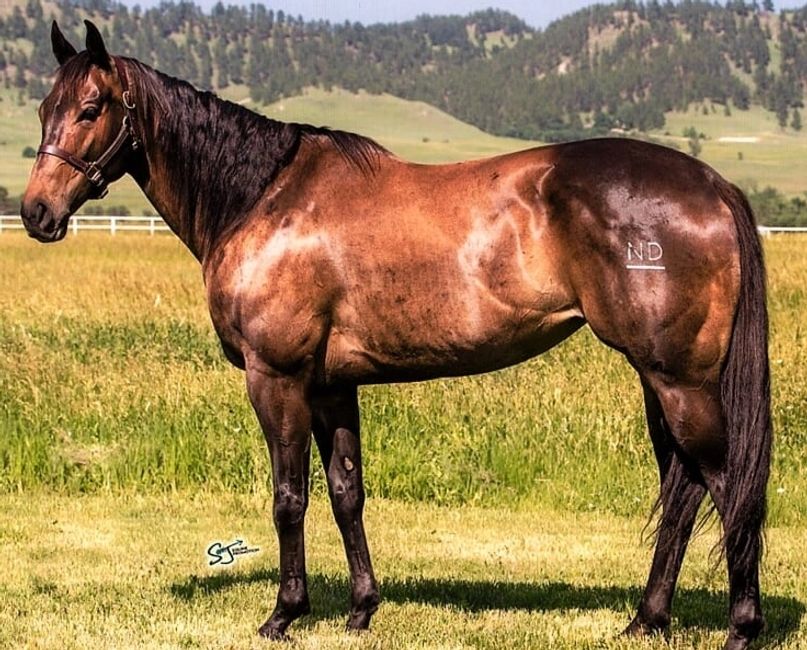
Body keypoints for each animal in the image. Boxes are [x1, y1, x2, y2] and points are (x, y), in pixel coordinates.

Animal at [20, 21, 771, 650]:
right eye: (43, 110)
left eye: (91, 108)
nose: (36, 212)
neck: (263, 198)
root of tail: (712, 184)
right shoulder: (331, 385)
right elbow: (345, 492)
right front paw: (360, 609)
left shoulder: (277, 377)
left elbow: (288, 496)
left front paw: (284, 613)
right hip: (658, 379)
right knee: (682, 488)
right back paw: (646, 620)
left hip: (678, 380)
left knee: (725, 482)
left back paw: (740, 626)